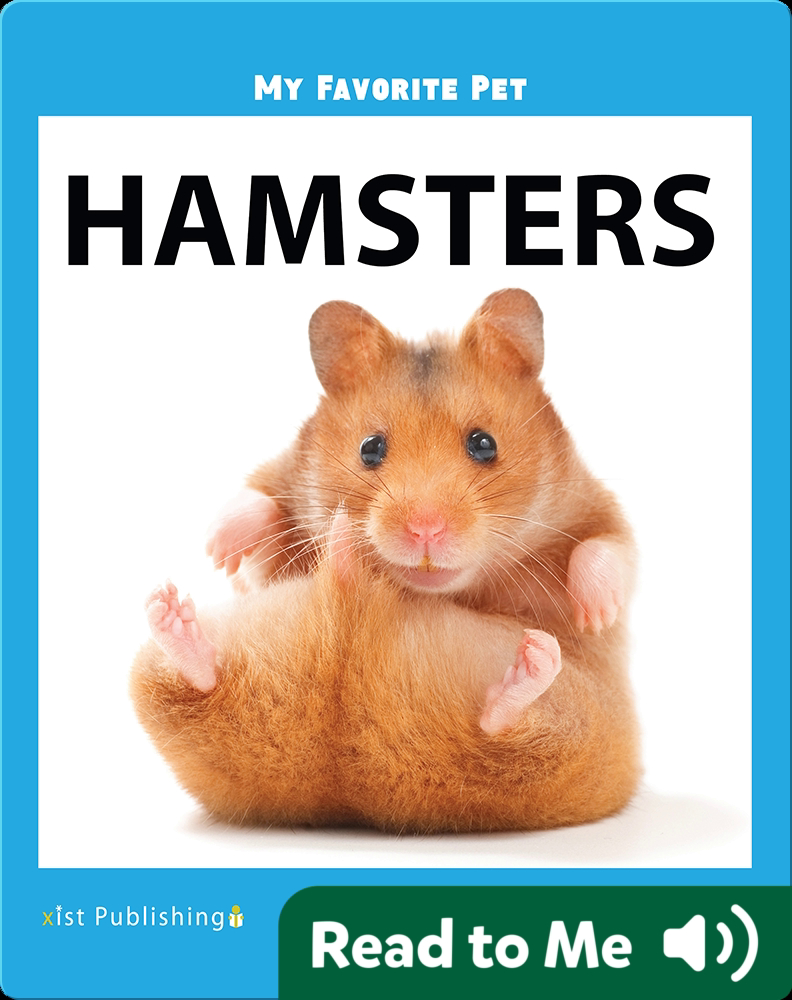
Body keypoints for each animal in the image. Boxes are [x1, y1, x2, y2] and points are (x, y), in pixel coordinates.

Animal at [131, 289, 641, 832]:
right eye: (370, 448)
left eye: (484, 443)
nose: (425, 529)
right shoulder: (276, 520)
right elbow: (256, 512)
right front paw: (218, 550)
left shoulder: (596, 507)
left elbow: (606, 550)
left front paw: (595, 612)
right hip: (169, 688)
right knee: (199, 683)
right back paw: (176, 610)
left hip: (577, 733)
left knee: (507, 732)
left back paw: (533, 659)